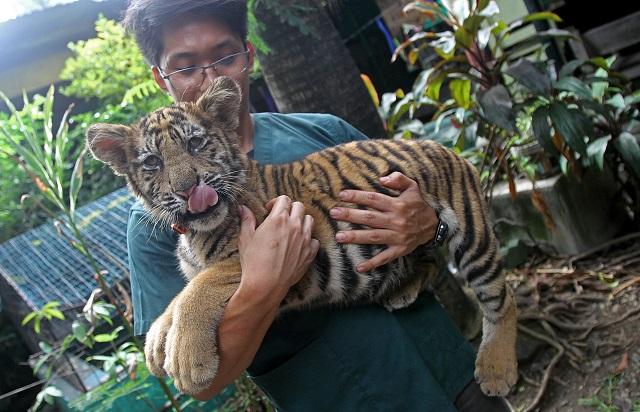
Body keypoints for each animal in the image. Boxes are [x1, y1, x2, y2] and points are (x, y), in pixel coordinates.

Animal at [87, 76, 518, 397]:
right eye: (152, 162)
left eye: (195, 143)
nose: (187, 188)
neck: (194, 231)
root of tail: (435, 141)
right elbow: (176, 299)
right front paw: (158, 337)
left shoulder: (267, 253)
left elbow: (199, 289)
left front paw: (187, 360)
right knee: (428, 260)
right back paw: (403, 291)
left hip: (472, 233)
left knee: (500, 295)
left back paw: (496, 369)